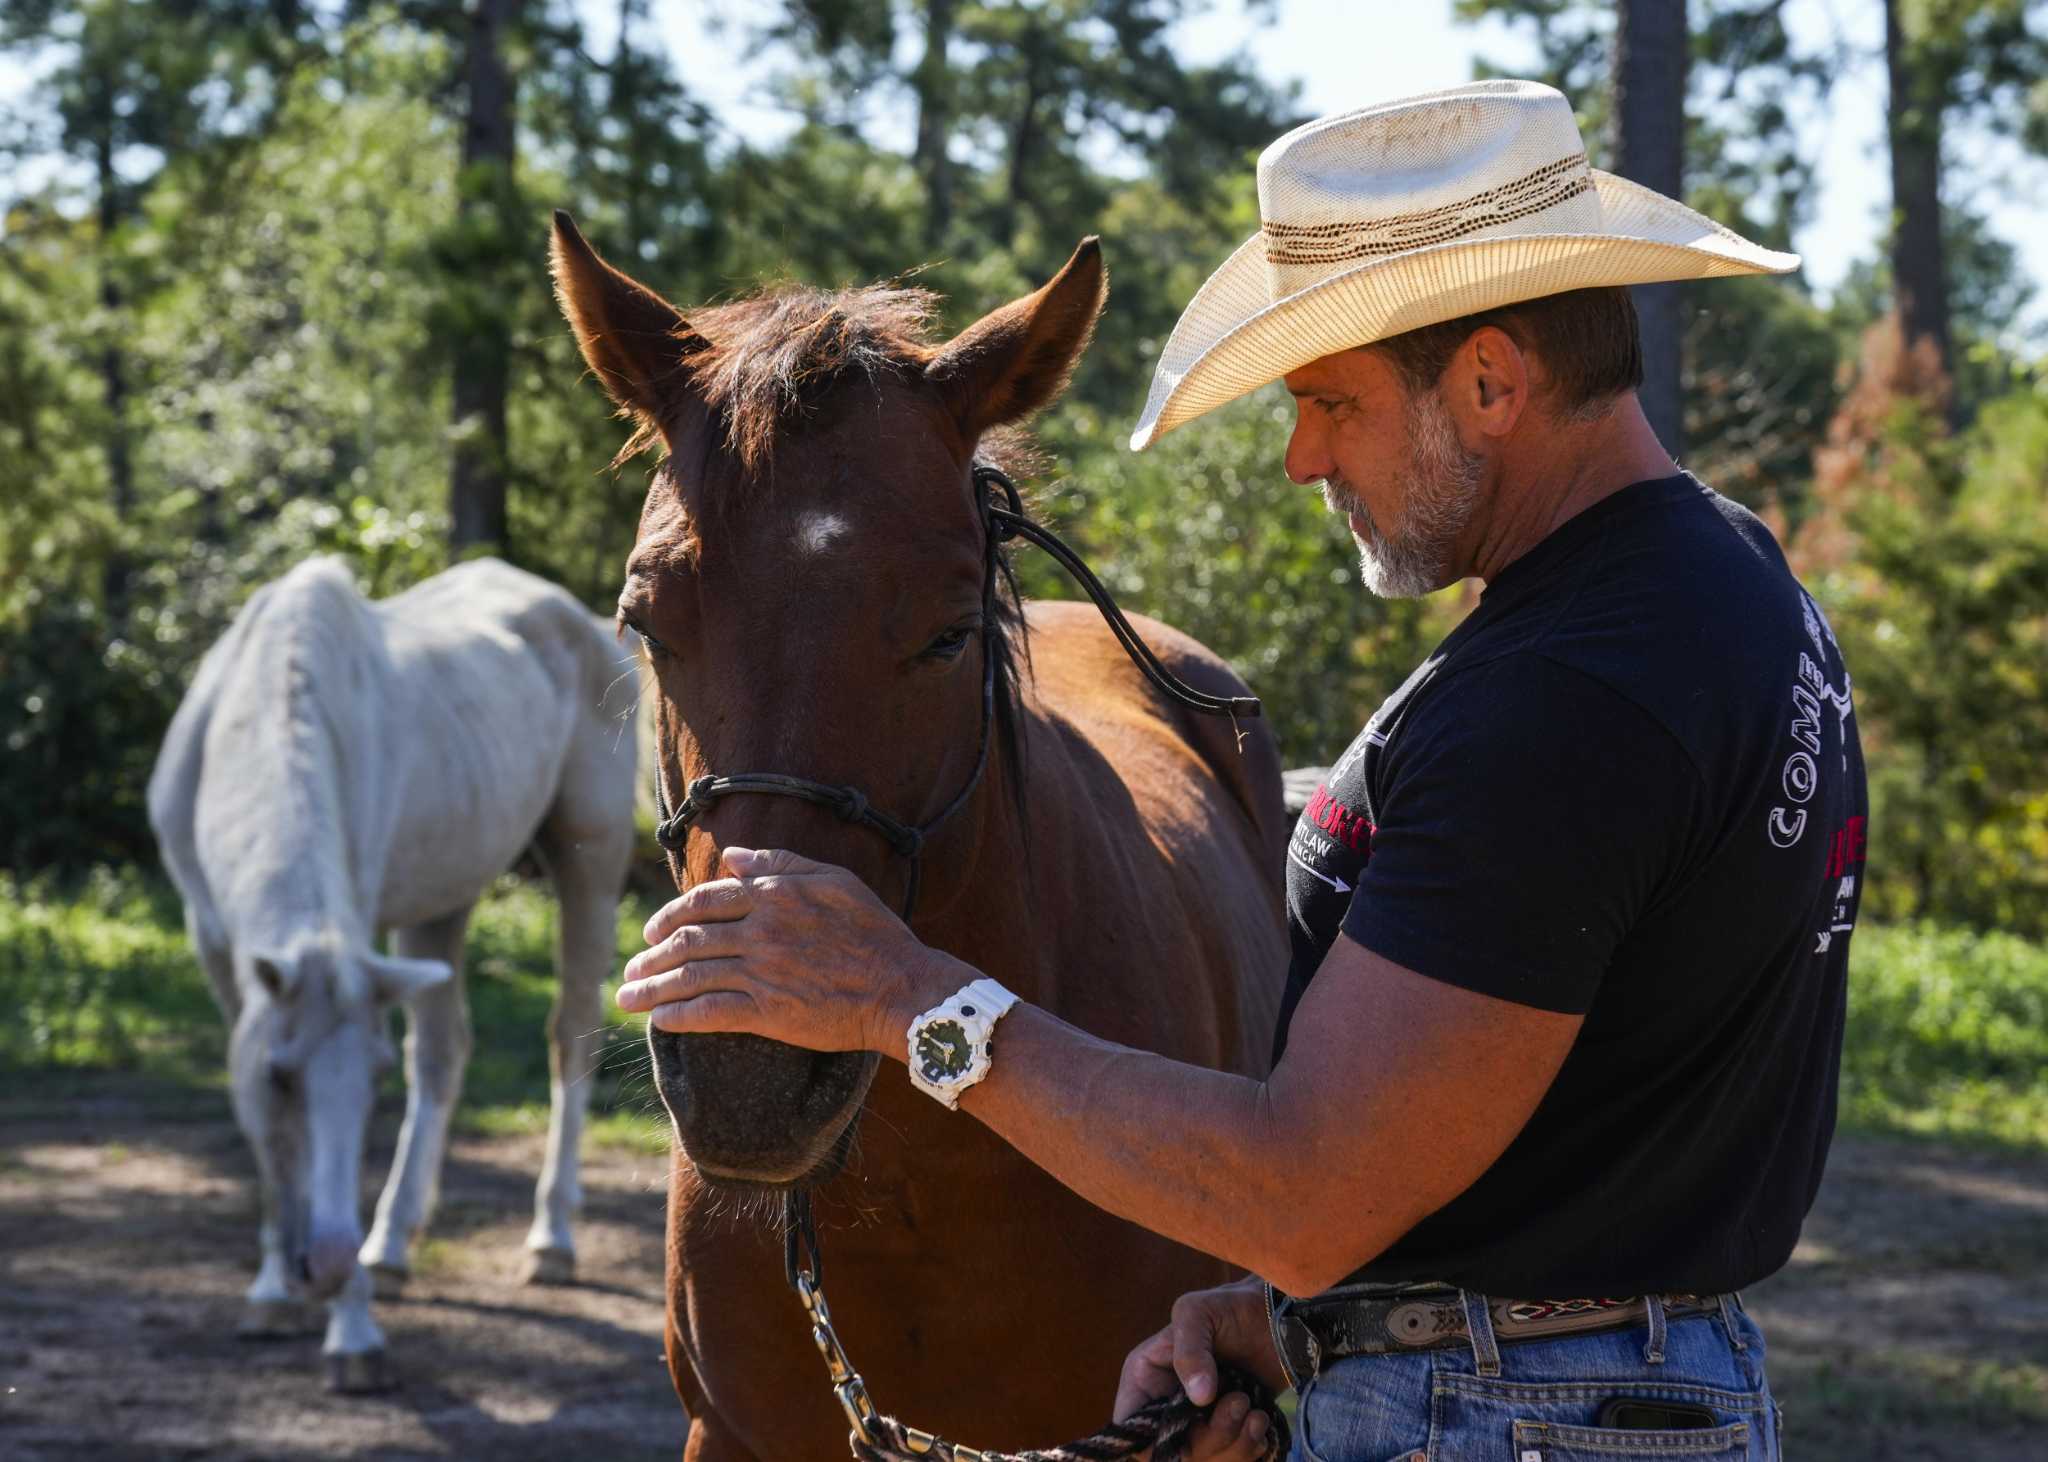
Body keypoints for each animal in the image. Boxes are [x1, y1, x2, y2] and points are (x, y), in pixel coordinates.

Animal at [146, 554, 639, 1392]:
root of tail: (581, 619)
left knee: (571, 1032)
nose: (327, 1262)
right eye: (280, 1076)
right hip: (444, 900)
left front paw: (353, 1334)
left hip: (592, 867)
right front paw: (273, 1293)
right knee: (443, 1054)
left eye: (370, 1077)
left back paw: (550, 1239)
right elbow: (270, 1144)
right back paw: (392, 1247)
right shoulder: (216, 950)